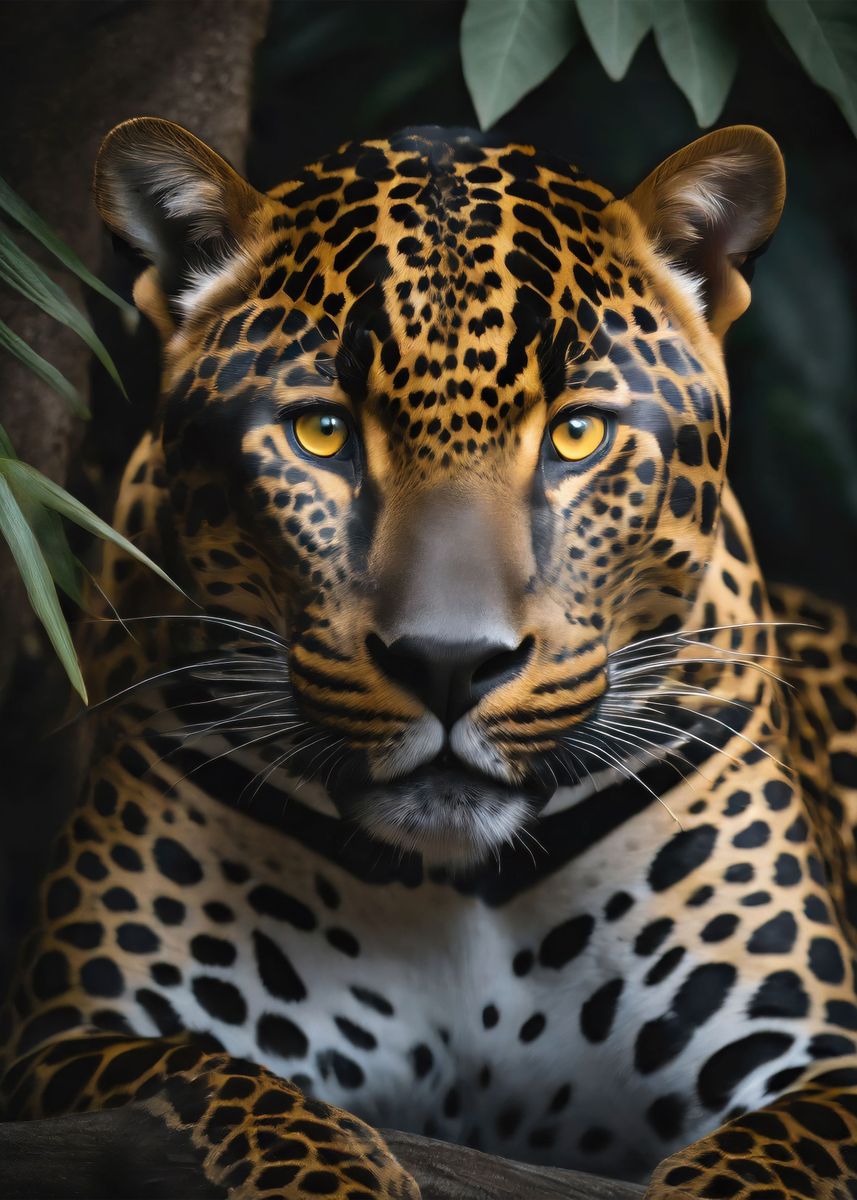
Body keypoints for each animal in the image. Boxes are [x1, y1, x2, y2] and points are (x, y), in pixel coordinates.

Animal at [2, 116, 857, 1200]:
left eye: (576, 433)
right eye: (322, 431)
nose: (448, 664)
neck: (457, 883)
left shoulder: (812, 1061)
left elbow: (757, 1163)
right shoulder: (71, 1035)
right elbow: (223, 1079)